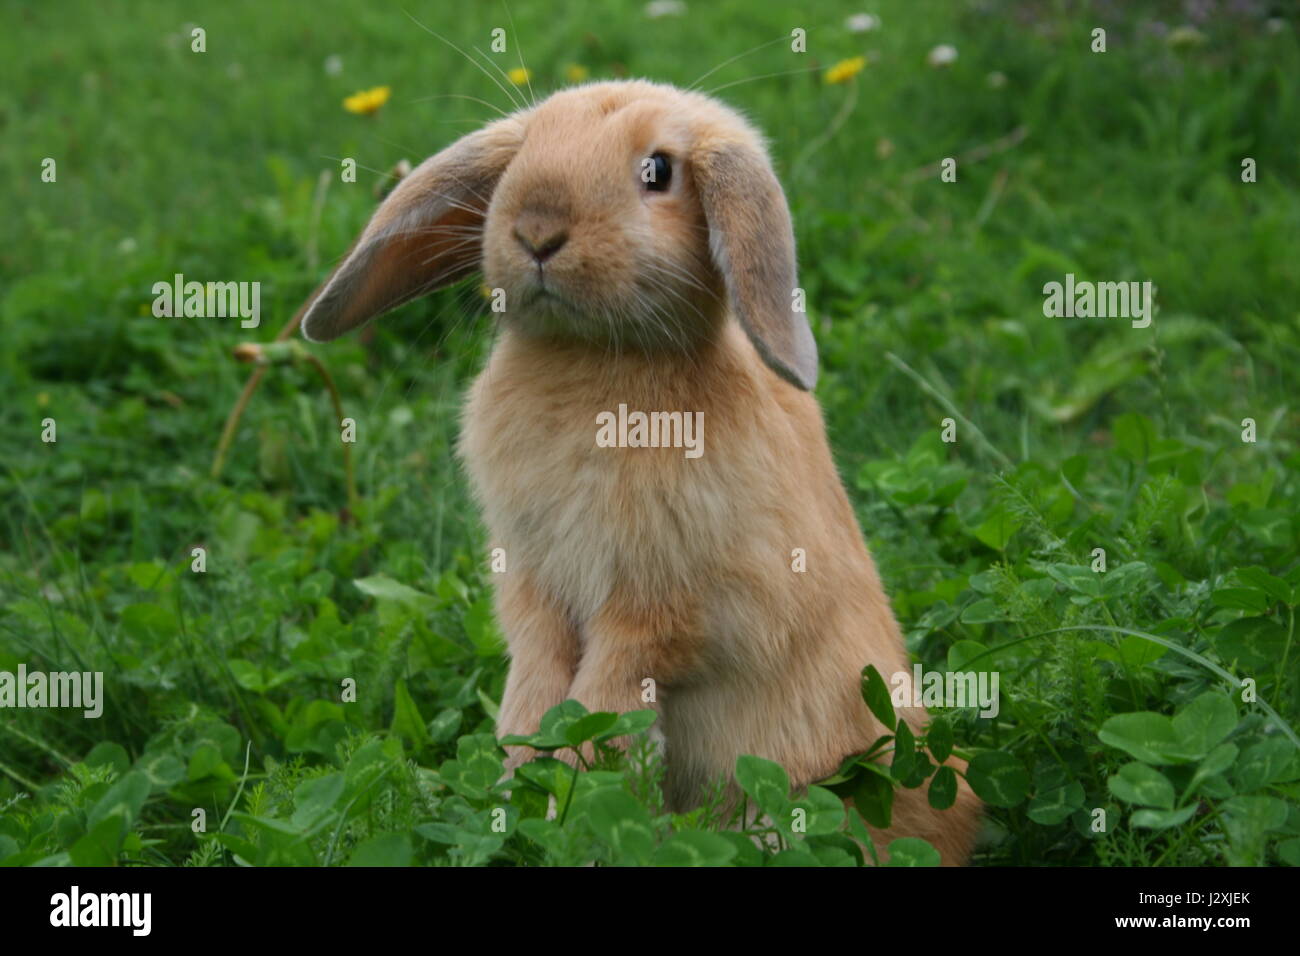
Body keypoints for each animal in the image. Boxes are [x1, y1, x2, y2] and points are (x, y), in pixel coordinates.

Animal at [299, 79, 981, 864]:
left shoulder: (670, 605)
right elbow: (535, 674)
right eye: (523, 153)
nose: (537, 229)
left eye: (658, 171)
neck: (596, 356)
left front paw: (567, 790)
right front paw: (518, 772)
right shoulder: (532, 580)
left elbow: (606, 695)